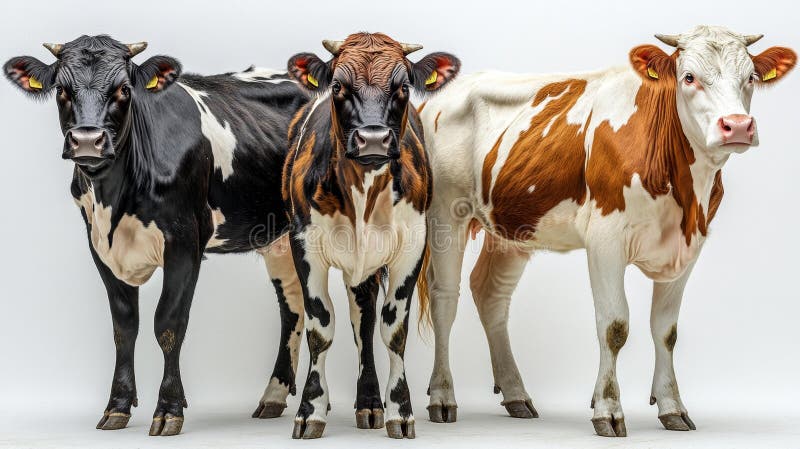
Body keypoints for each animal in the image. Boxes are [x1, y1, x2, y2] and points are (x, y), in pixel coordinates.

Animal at [3, 35, 309, 436]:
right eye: (61, 90)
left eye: (123, 89)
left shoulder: (185, 242)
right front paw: (117, 406)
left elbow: (168, 324)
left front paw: (169, 409)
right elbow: (124, 327)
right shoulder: (98, 244)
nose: (87, 140)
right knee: (292, 306)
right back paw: (273, 396)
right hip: (279, 240)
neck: (115, 200)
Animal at [282, 32, 460, 439]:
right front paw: (311, 410)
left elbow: (392, 329)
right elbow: (320, 327)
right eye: (337, 86)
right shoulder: (305, 246)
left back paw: (369, 404)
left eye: (403, 86)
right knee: (358, 322)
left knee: (364, 321)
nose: (374, 139)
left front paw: (400, 411)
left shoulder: (412, 247)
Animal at [416, 25, 796, 437]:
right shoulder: (605, 241)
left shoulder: (688, 247)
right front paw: (608, 410)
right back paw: (442, 396)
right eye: (689, 77)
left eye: (751, 77)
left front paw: (672, 407)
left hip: (513, 225)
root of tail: (439, 97)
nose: (737, 125)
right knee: (445, 299)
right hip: (446, 211)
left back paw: (516, 394)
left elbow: (666, 331)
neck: (684, 194)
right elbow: (614, 326)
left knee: (490, 294)